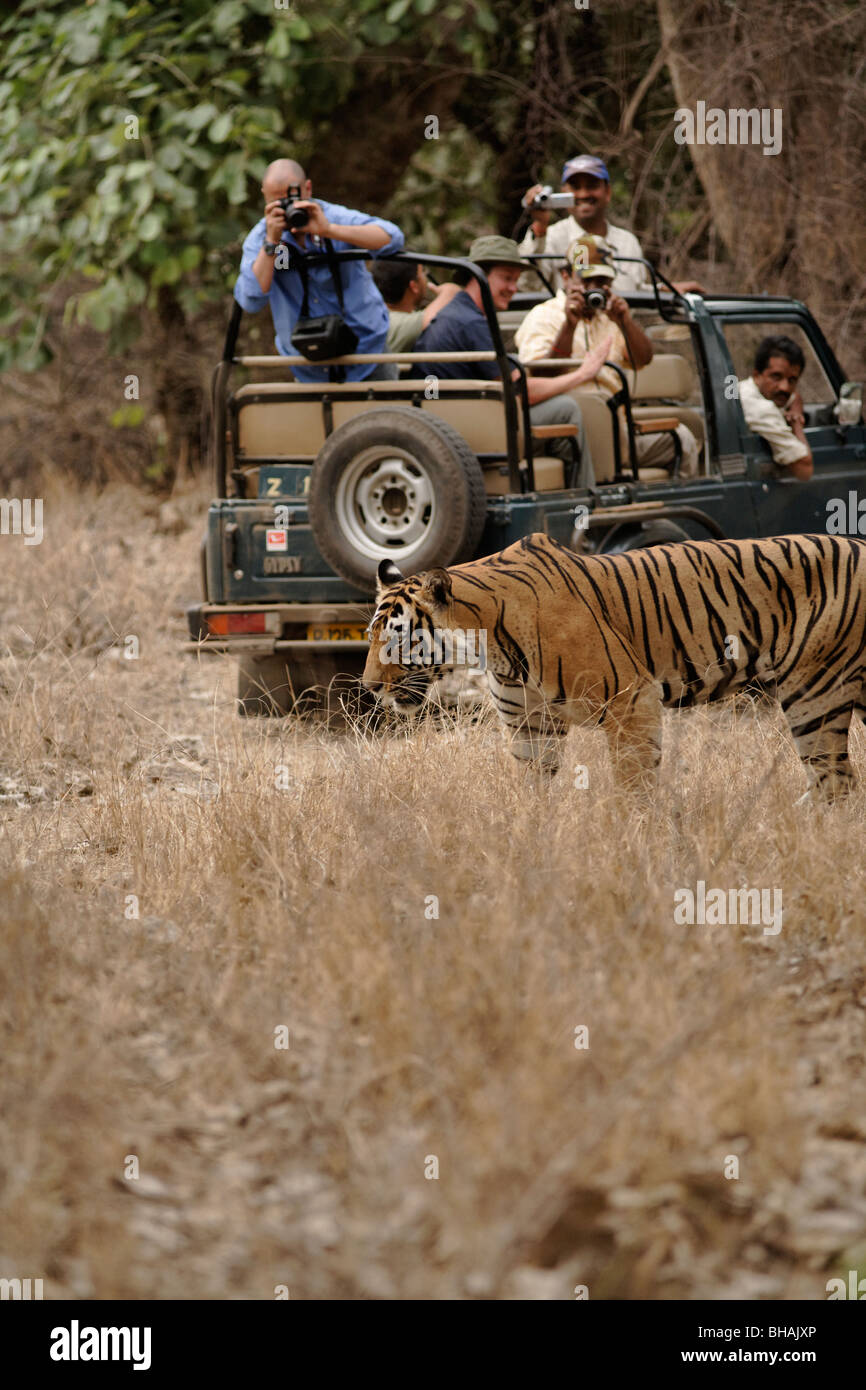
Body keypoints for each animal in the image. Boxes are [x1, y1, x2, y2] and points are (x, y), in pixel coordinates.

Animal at [362, 531, 866, 799]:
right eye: (370, 636)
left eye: (398, 638)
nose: (369, 687)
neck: (490, 645)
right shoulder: (531, 726)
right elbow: (532, 793)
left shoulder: (630, 700)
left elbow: (633, 787)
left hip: (813, 691)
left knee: (835, 782)